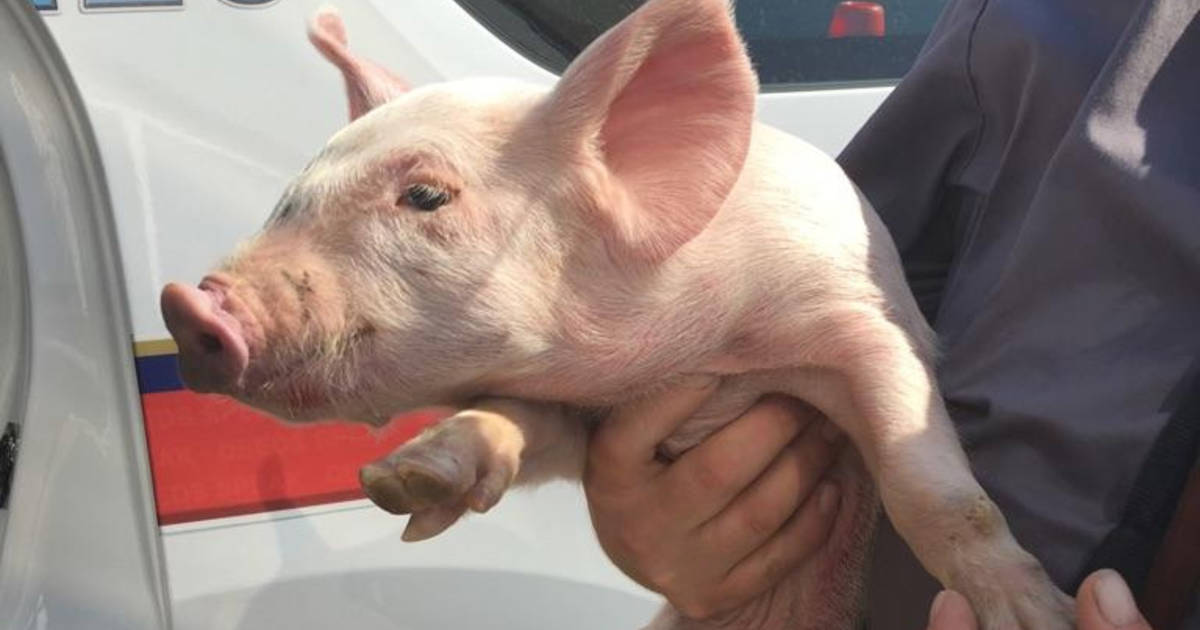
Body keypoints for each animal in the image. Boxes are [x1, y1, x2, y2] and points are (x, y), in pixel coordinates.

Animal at [159, 1, 1075, 628]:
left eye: (424, 195)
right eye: (290, 196)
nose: (186, 301)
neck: (675, 361)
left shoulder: (862, 318)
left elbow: (935, 489)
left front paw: (1037, 617)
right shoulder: (582, 419)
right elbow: (511, 424)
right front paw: (405, 483)